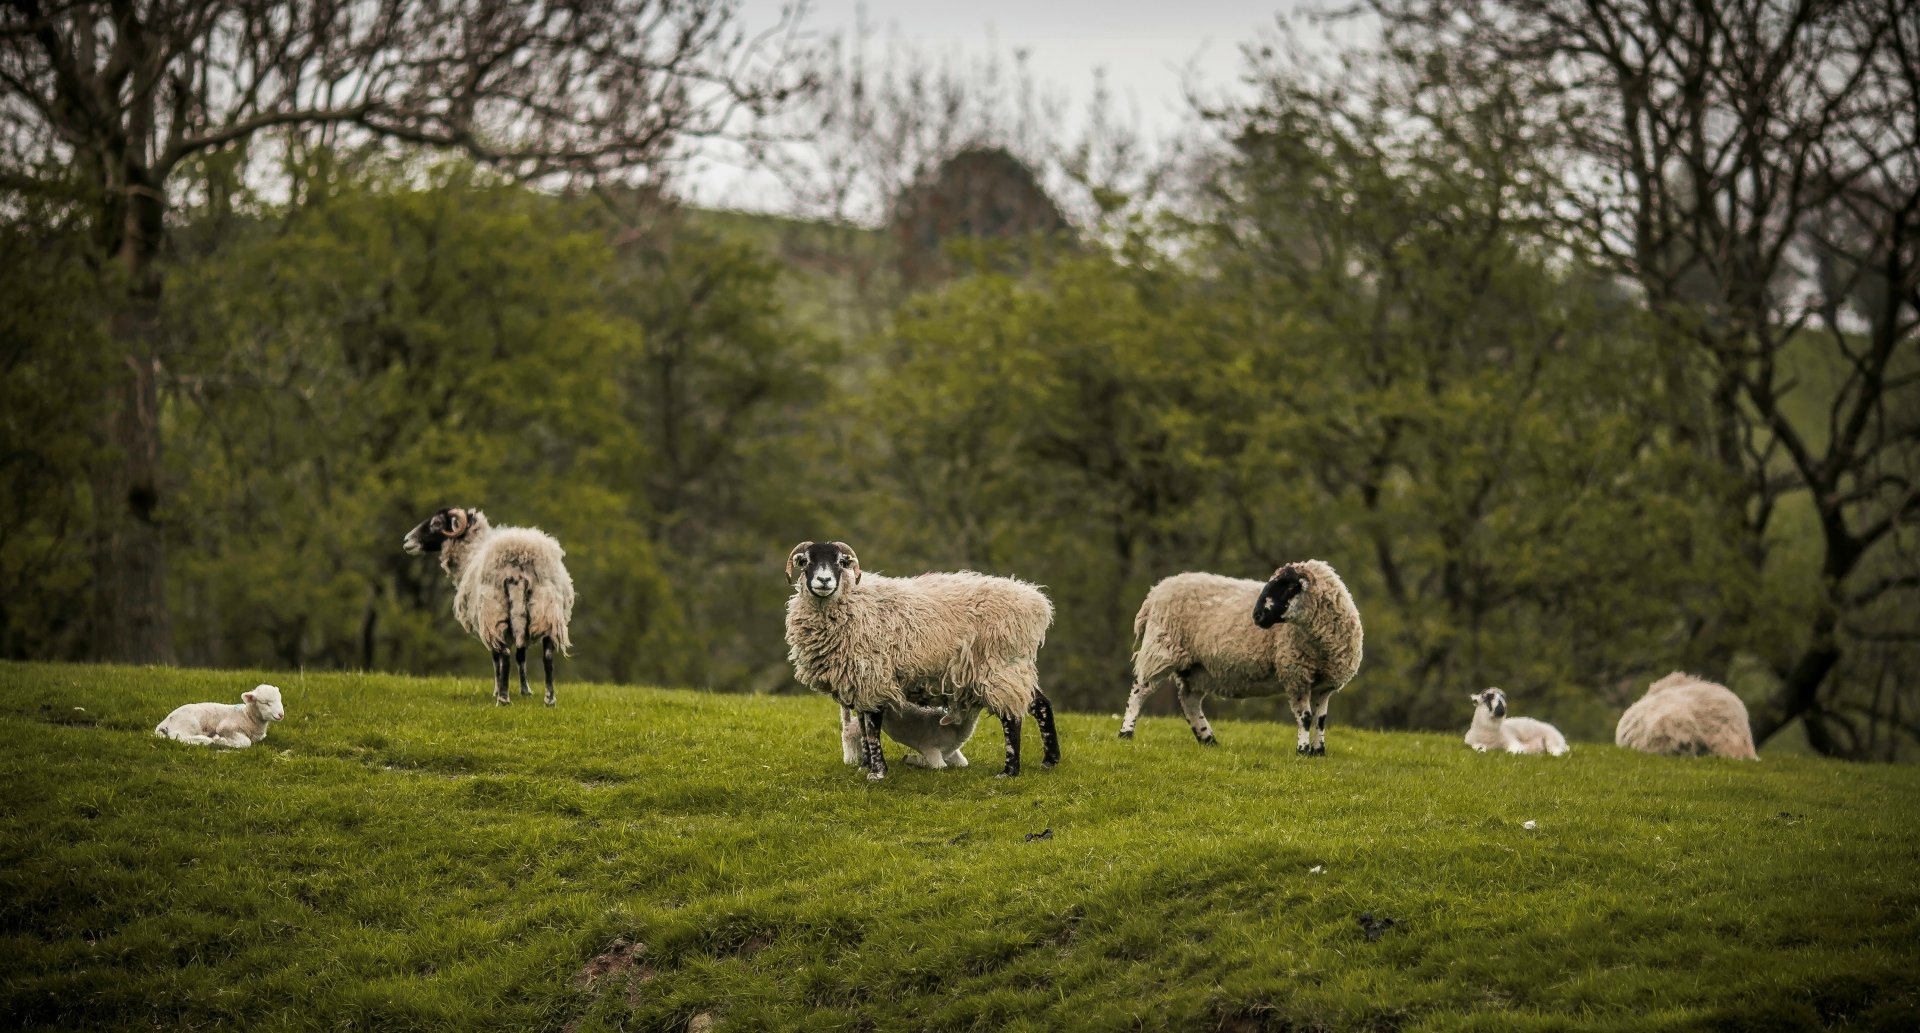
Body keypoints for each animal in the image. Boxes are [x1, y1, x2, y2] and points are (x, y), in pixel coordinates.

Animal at [154, 684, 285, 747]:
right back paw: (205, 740)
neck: (247, 716)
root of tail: (165, 722)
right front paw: (222, 741)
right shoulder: (225, 727)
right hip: (188, 723)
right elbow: (246, 742)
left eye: (280, 700)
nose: (281, 715)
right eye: (266, 703)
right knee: (177, 736)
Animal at [402, 506, 575, 706]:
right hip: (546, 609)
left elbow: (496, 659)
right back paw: (549, 699)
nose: (406, 541)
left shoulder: (484, 622)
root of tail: (517, 564)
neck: (470, 553)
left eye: (436, 523)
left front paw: (497, 689)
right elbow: (521, 656)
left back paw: (503, 698)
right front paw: (525, 691)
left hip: (494, 611)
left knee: (504, 654)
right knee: (547, 655)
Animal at [837, 701, 981, 770]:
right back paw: (850, 758)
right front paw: (915, 760)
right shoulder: (929, 746)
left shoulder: (950, 750)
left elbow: (963, 763)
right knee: (849, 731)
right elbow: (941, 766)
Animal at [1121, 560, 1363, 756]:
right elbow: (1305, 717)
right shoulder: (1296, 675)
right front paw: (1303, 751)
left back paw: (1208, 739)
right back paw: (1126, 733)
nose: (1257, 616)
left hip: (1197, 668)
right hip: (1161, 649)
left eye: (1289, 586)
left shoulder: (1325, 684)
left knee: (1189, 701)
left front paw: (1319, 751)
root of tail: (1156, 591)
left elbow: (1320, 720)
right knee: (1139, 690)